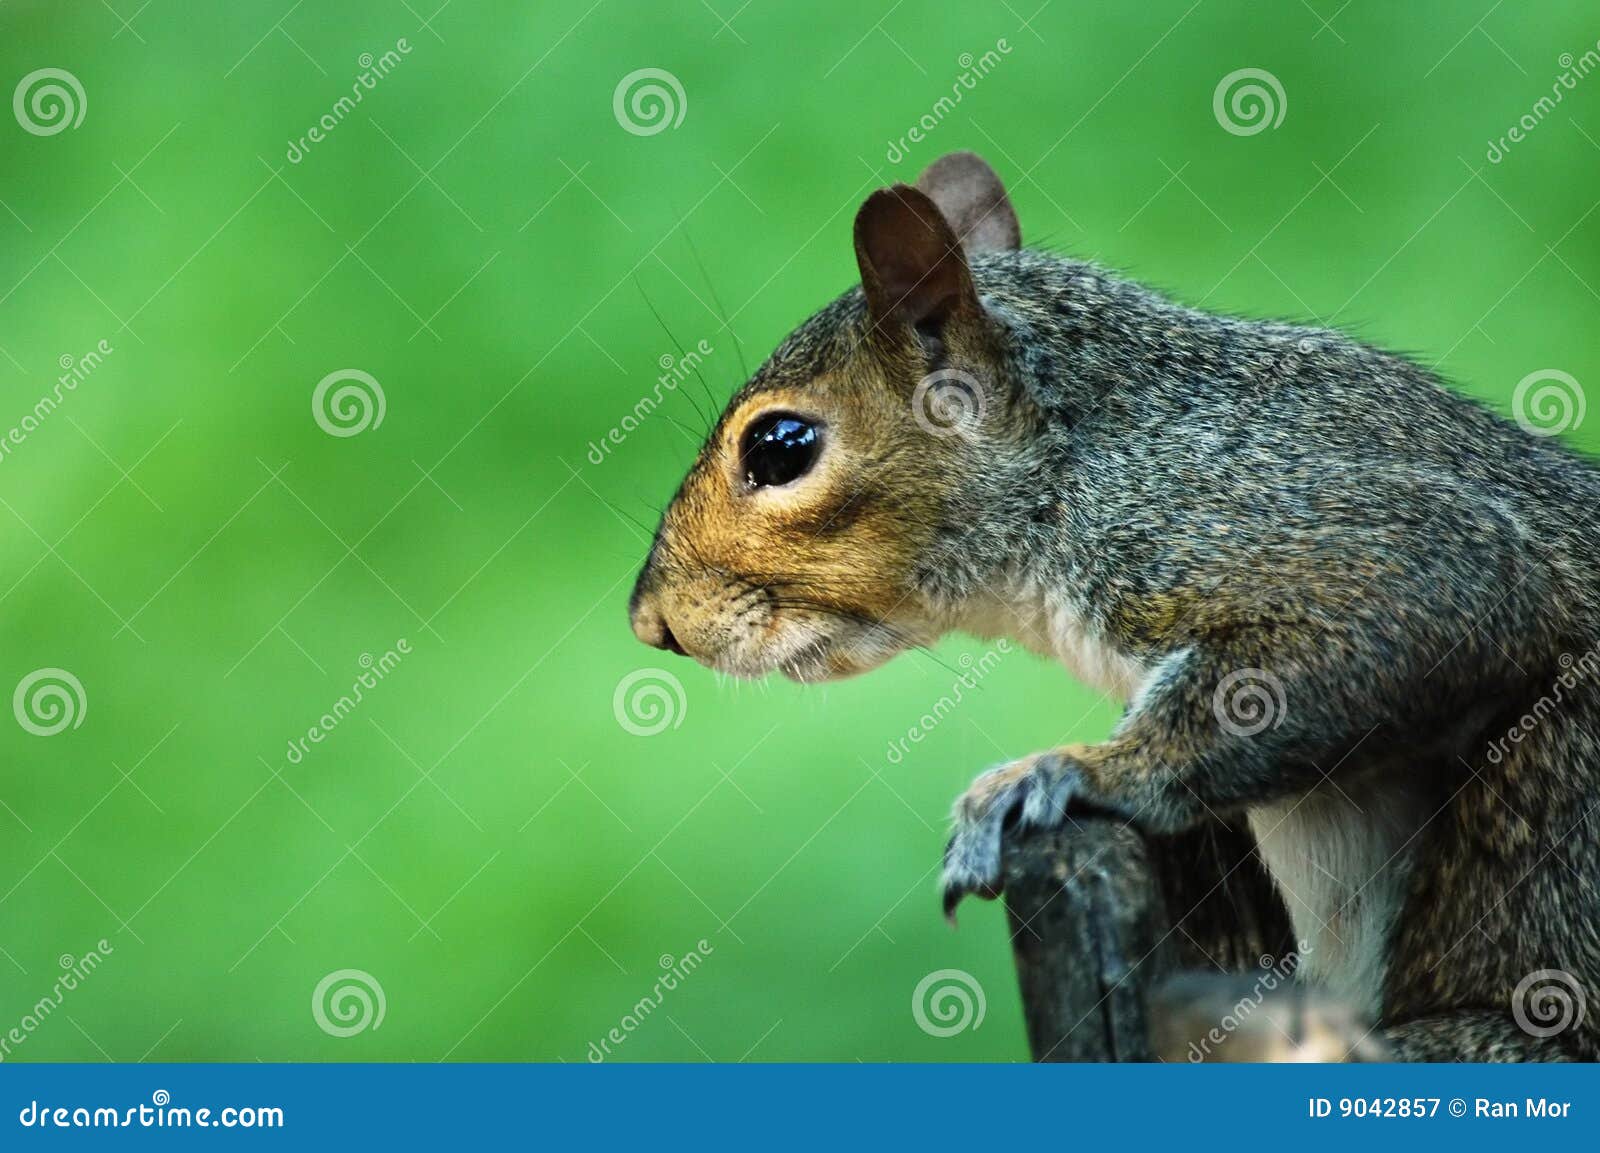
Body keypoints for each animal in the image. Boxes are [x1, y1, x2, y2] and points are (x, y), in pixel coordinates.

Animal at [628, 150, 1599, 1061]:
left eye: (780, 446)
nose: (651, 620)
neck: (1080, 459)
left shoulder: (1244, 521)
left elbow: (1446, 585)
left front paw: (1070, 772)